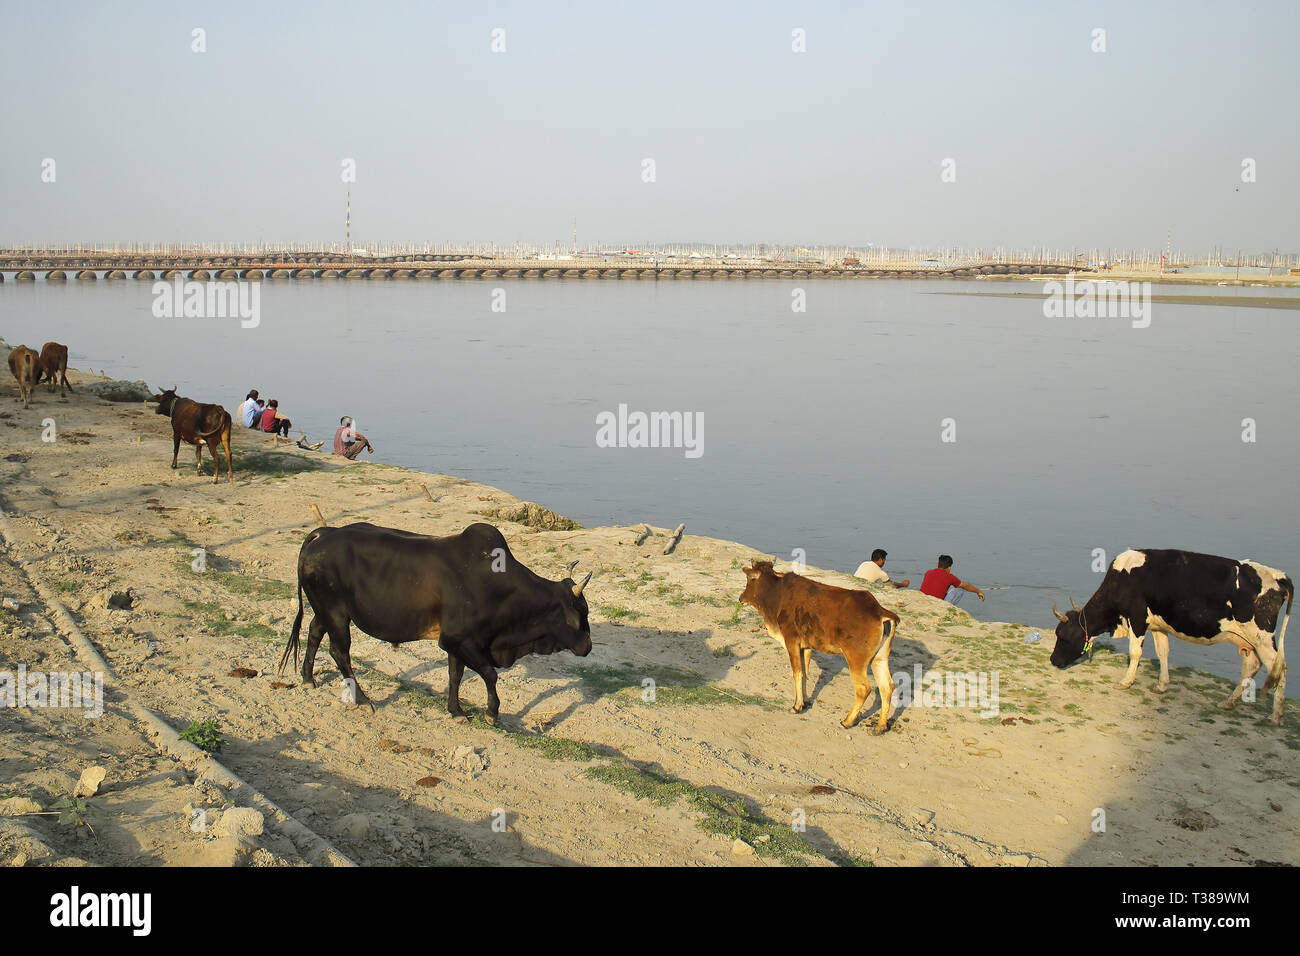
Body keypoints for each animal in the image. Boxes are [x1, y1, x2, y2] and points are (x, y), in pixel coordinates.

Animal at [278, 521, 594, 723]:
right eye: (582, 613)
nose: (588, 647)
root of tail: (323, 533)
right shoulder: (459, 640)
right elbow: (490, 675)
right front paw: (492, 713)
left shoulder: (460, 643)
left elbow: (455, 676)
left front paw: (456, 711)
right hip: (335, 612)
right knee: (339, 652)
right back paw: (363, 699)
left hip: (326, 610)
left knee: (314, 632)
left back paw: (308, 677)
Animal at [740, 560, 899, 732]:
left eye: (751, 579)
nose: (741, 598)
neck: (777, 595)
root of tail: (879, 611)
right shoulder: (805, 646)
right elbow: (805, 673)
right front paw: (805, 702)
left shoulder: (791, 641)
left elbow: (797, 673)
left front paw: (797, 706)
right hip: (879, 659)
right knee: (887, 687)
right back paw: (880, 726)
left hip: (856, 660)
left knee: (864, 689)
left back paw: (847, 721)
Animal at [1050, 549, 1292, 724]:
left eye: (1063, 636)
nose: (1053, 660)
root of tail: (1278, 576)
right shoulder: (1158, 625)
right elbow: (1163, 653)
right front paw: (1162, 685)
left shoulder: (1138, 618)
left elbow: (1135, 652)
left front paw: (1126, 682)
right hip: (1248, 641)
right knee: (1251, 665)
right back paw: (1229, 703)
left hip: (1262, 637)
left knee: (1279, 668)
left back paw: (1276, 716)